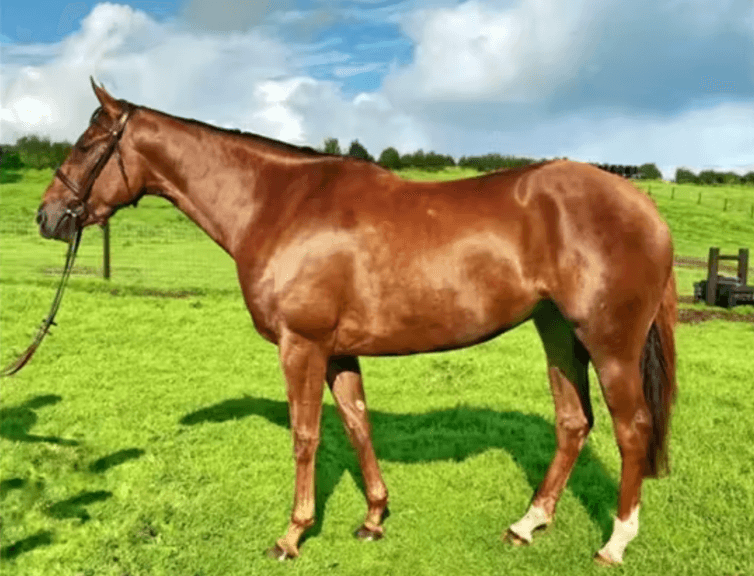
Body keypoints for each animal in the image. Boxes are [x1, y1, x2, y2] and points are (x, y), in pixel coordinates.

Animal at [37, 80, 676, 565]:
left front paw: (292, 534)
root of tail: (641, 204)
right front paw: (373, 518)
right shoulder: (337, 350)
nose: (47, 216)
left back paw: (615, 543)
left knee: (632, 429)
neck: (280, 204)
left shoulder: (301, 345)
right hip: (557, 332)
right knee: (573, 422)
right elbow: (357, 423)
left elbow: (306, 436)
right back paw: (528, 523)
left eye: (88, 144)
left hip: (610, 343)